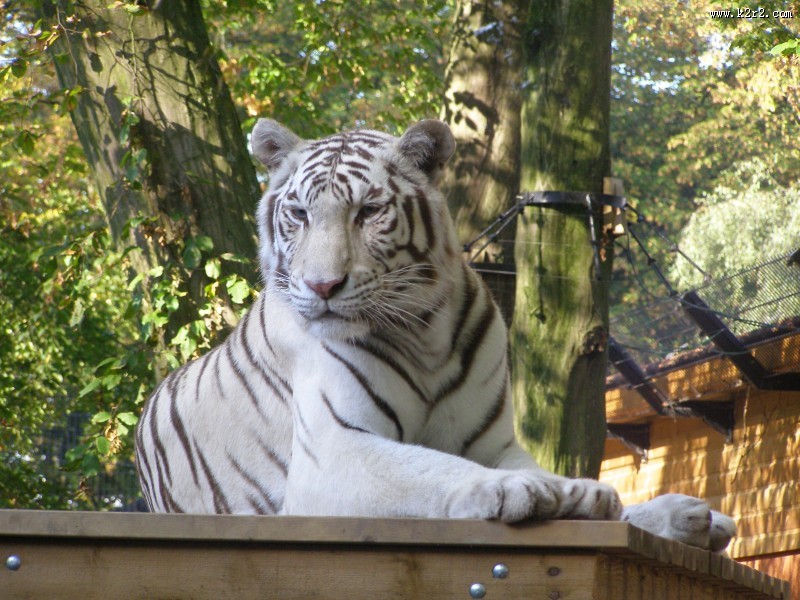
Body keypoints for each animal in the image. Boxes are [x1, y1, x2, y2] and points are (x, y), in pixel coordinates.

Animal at [135, 118, 736, 552]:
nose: (321, 285)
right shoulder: (333, 448)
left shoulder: (494, 442)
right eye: (300, 214)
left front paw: (576, 492)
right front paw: (528, 491)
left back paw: (691, 517)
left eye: (369, 211)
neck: (423, 331)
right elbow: (429, 469)